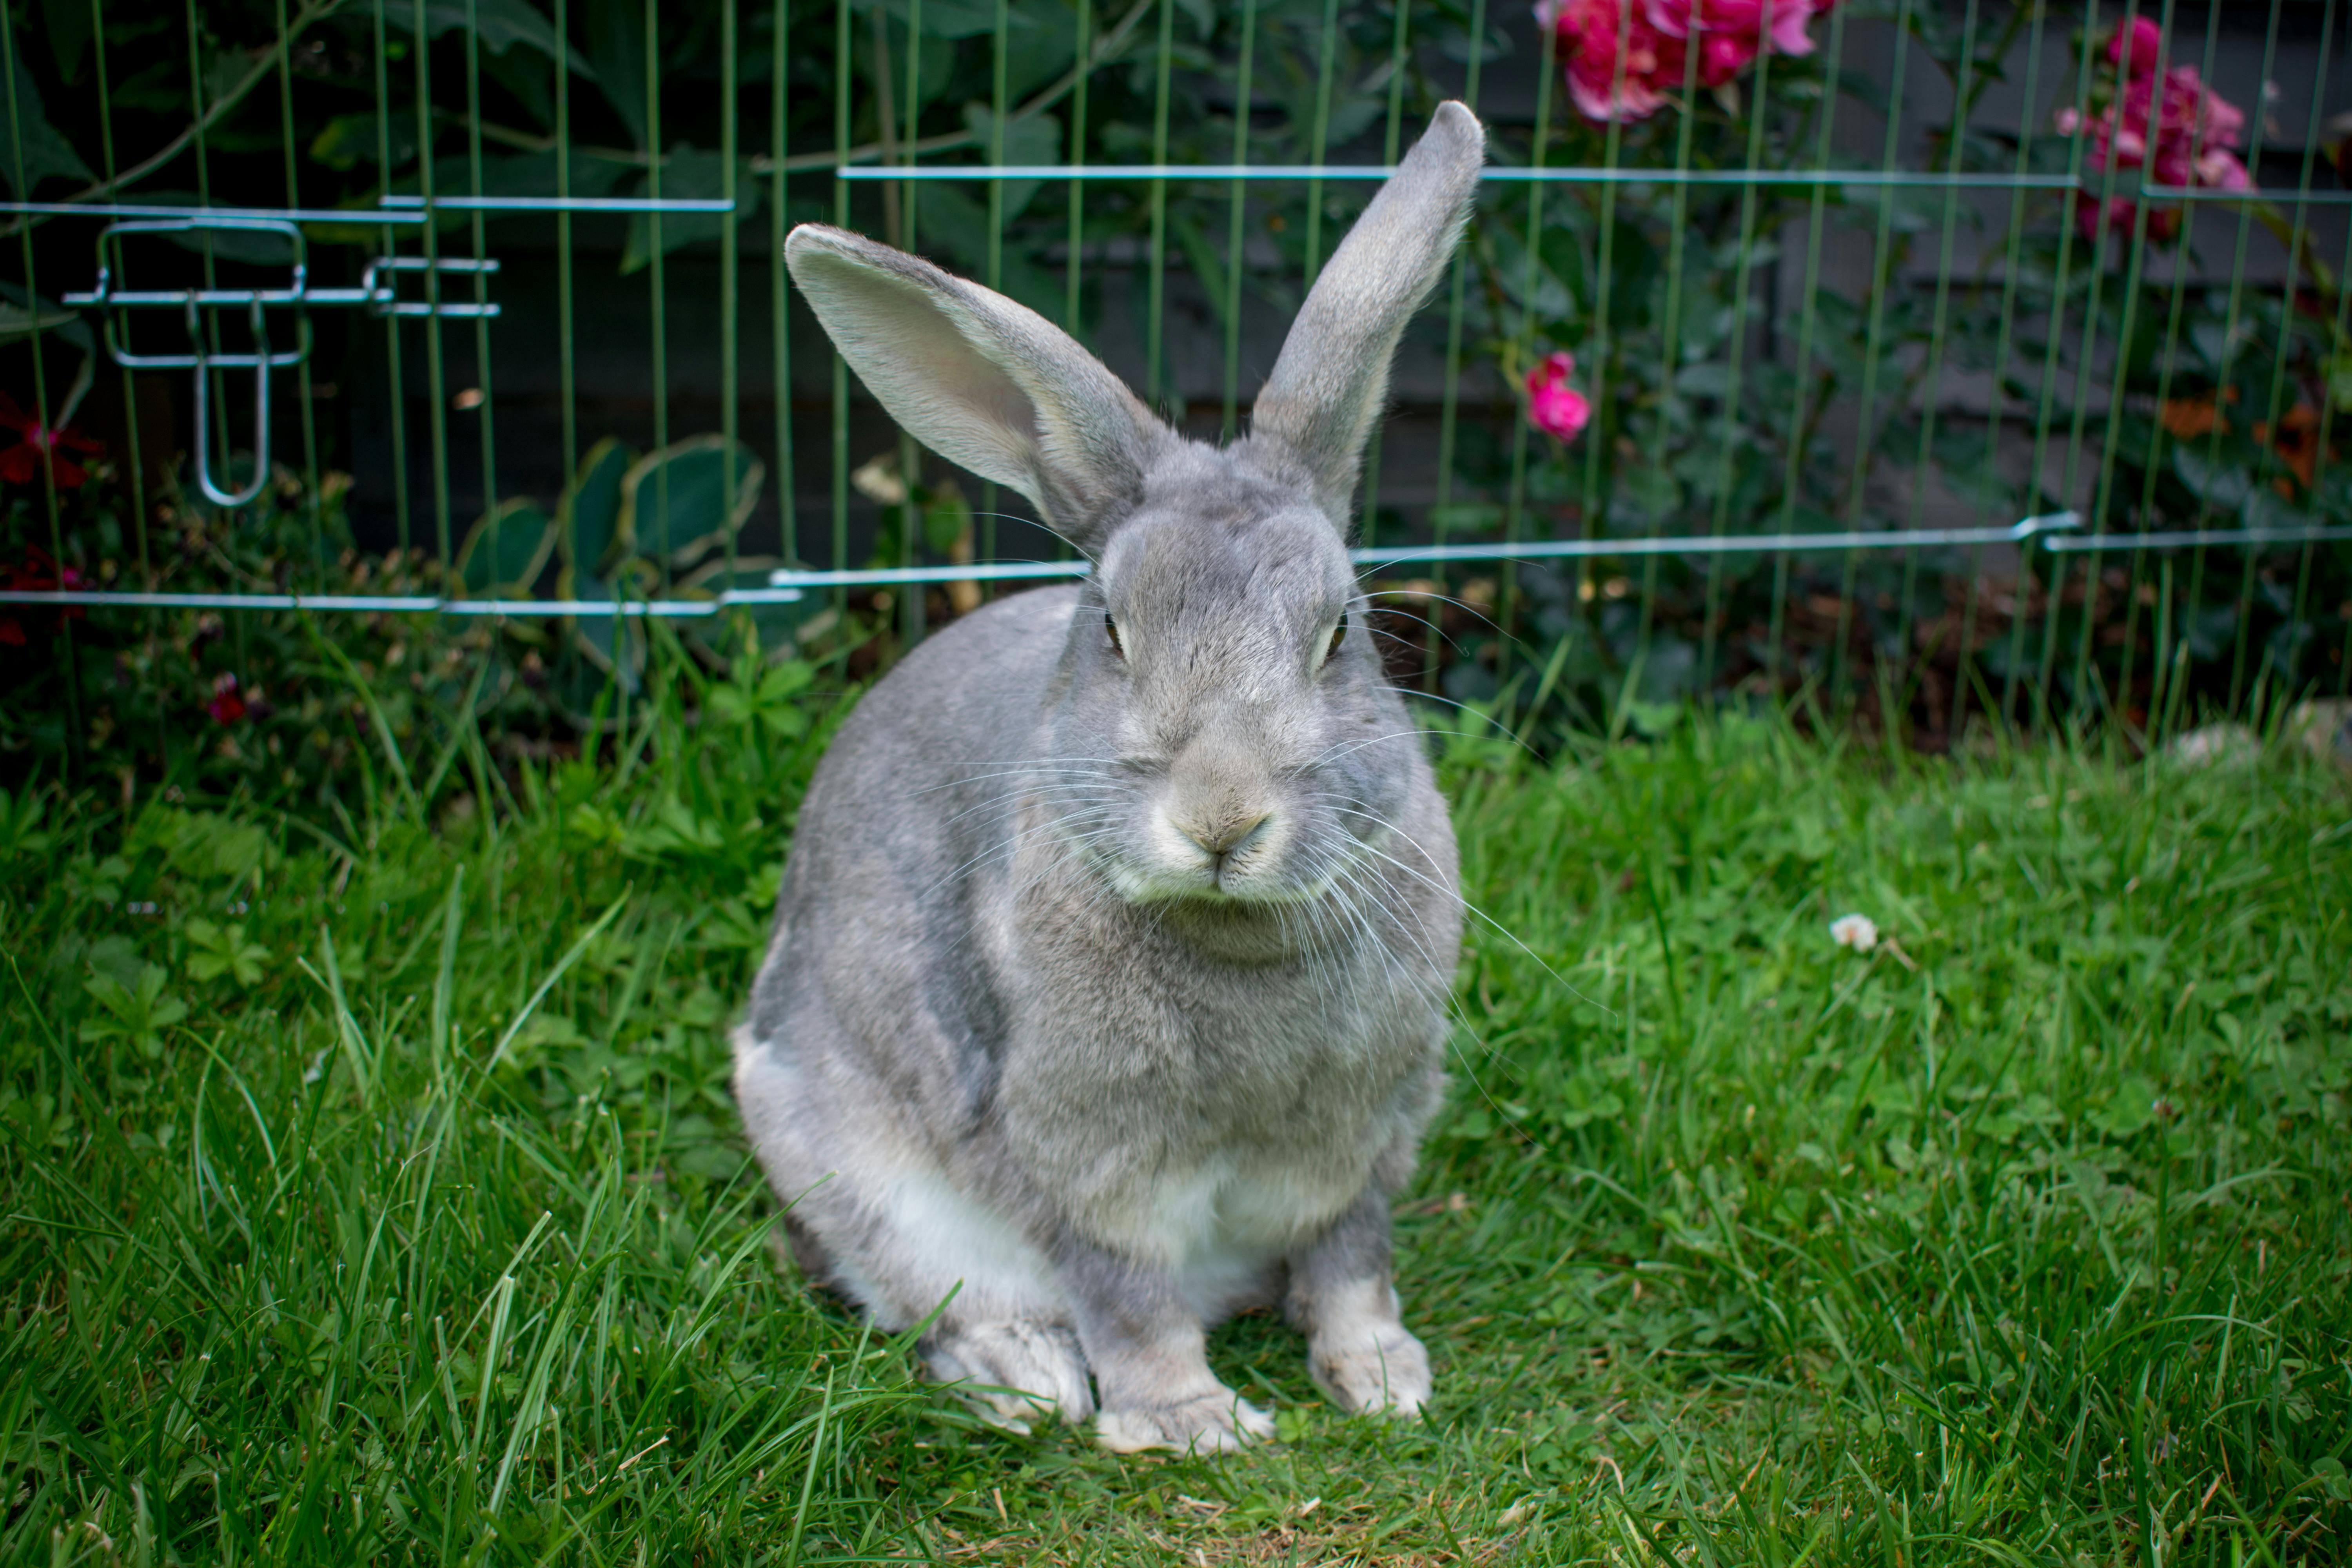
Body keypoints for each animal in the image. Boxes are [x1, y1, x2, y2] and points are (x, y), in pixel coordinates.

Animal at [733, 101, 1481, 1454]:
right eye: (1114, 630)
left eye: (1339, 632)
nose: (1220, 820)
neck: (1235, 937)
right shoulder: (1080, 1163)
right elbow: (1127, 1297)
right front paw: (1191, 1424)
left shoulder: (1363, 1145)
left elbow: (1352, 1261)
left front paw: (1384, 1379)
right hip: (843, 1158)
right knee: (926, 1301)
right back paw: (1021, 1381)